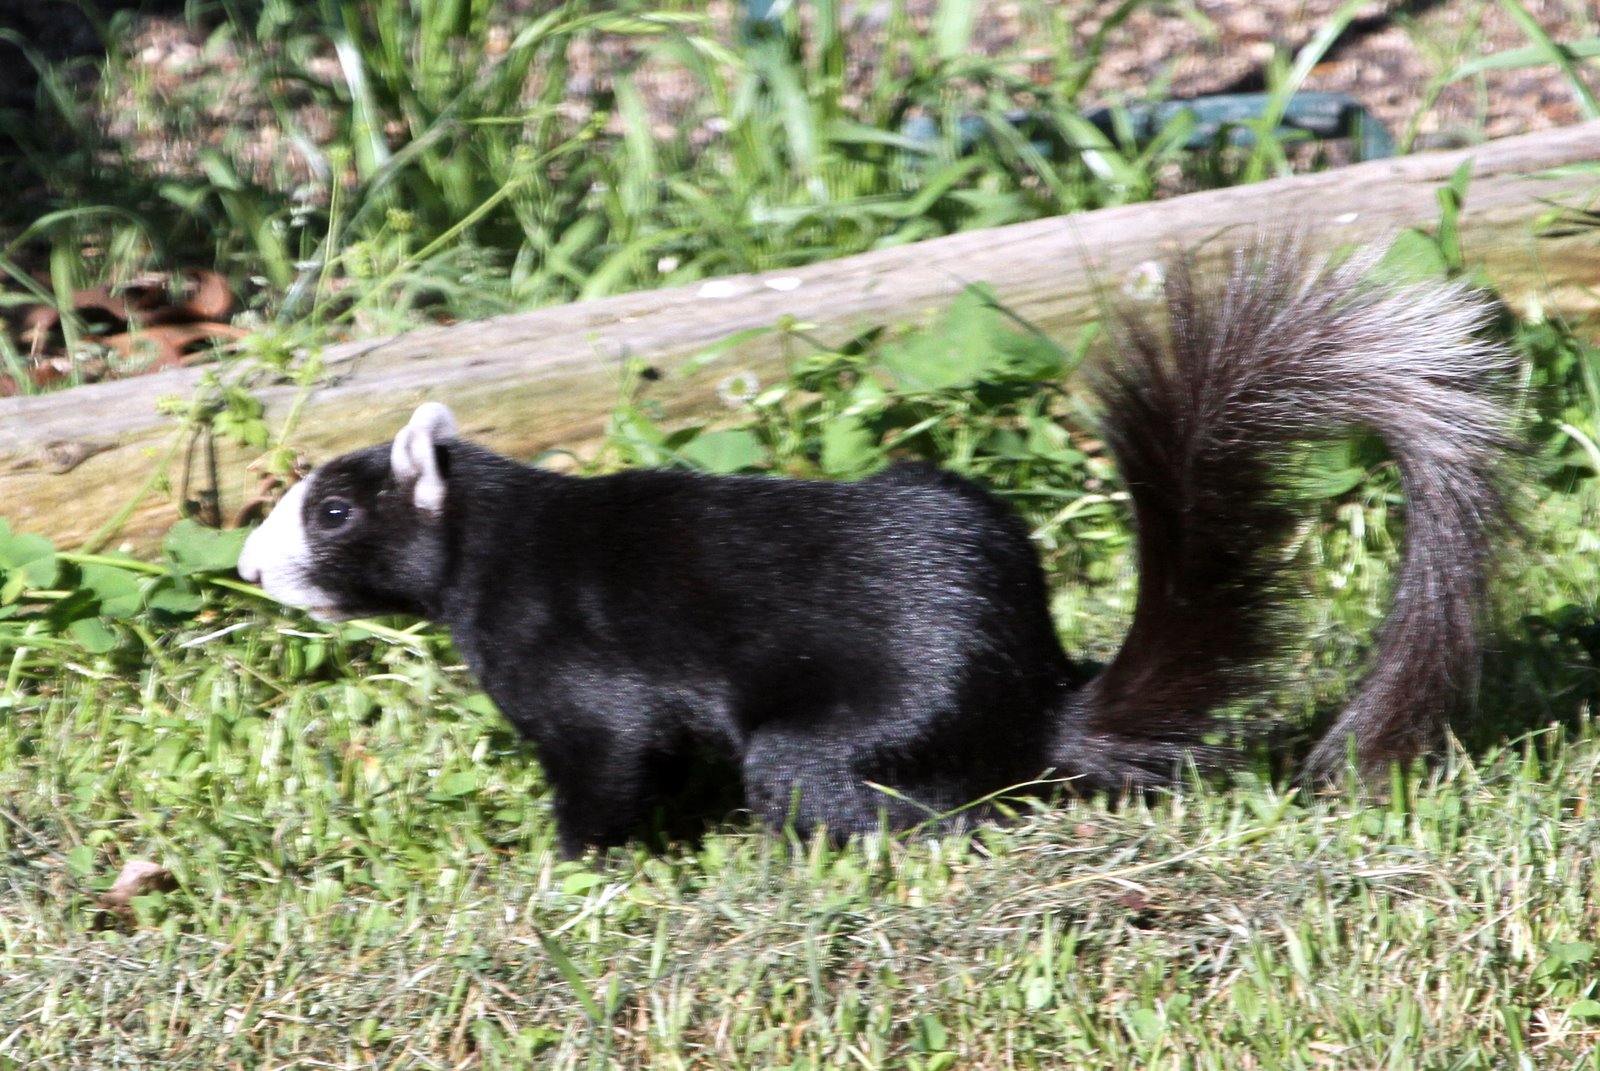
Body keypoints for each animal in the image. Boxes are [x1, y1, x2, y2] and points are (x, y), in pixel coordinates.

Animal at [237, 238, 1518, 856]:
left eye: (334, 512)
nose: (251, 564)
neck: (499, 540)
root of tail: (1035, 704)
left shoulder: (577, 672)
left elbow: (607, 760)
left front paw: (571, 862)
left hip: (834, 736)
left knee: (859, 796)